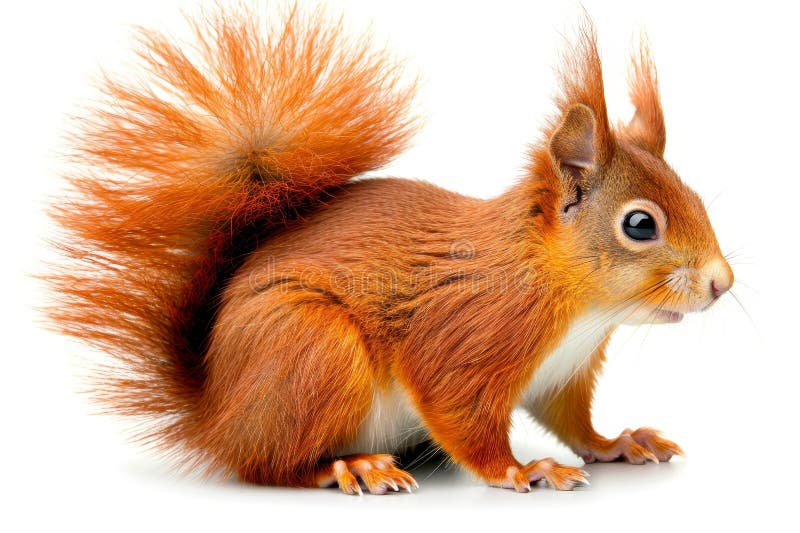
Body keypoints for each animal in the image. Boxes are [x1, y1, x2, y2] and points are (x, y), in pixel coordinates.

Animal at [49, 3, 733, 495]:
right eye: (640, 225)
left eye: (697, 196)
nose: (722, 283)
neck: (581, 309)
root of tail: (218, 416)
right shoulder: (469, 332)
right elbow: (460, 412)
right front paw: (521, 470)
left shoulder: (560, 374)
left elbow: (572, 422)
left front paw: (618, 442)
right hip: (312, 348)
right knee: (271, 466)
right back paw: (350, 468)